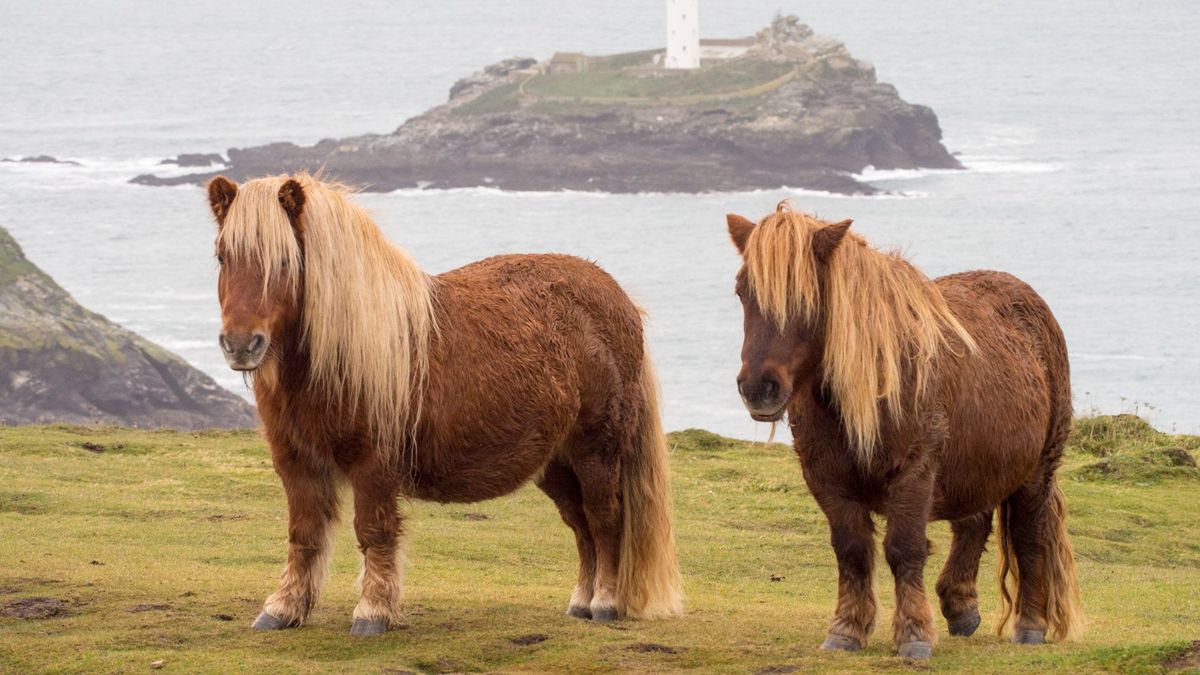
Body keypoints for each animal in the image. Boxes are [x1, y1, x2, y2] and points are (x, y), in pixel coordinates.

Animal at [205, 173, 682, 636]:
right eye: (223, 257)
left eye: (285, 262)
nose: (241, 345)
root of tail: (621, 301)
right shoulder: (296, 462)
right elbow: (303, 535)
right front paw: (283, 610)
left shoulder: (374, 464)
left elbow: (375, 531)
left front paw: (372, 614)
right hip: (557, 464)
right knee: (582, 526)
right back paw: (581, 603)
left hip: (595, 451)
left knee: (605, 519)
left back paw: (605, 604)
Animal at [726, 203, 1082, 660]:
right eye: (742, 292)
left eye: (807, 297)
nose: (758, 388)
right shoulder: (827, 480)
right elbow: (852, 550)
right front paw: (846, 630)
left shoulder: (914, 474)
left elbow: (904, 549)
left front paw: (913, 635)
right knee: (973, 524)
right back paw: (960, 607)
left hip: (1037, 472)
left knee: (1028, 536)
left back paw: (1030, 626)